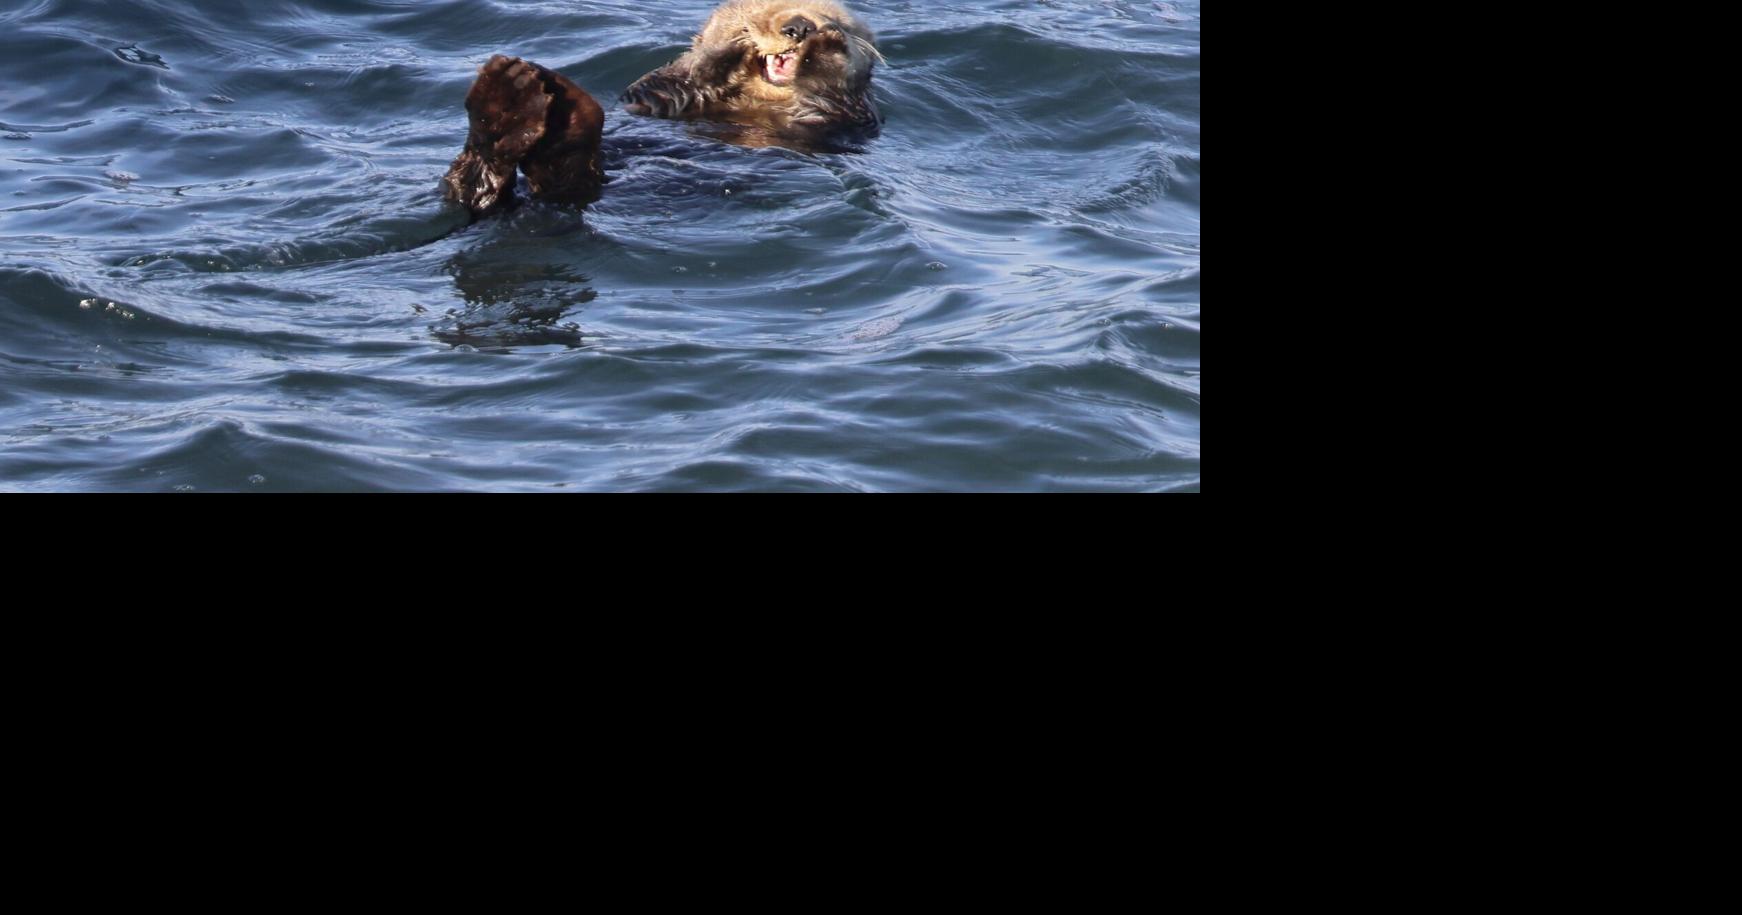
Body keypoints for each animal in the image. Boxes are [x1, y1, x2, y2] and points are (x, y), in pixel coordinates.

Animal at [442, 1, 882, 219]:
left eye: (833, 19)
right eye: (757, 16)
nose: (799, 26)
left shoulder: (847, 117)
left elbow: (831, 97)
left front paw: (825, 49)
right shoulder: (662, 92)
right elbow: (674, 80)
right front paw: (731, 49)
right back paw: (509, 98)